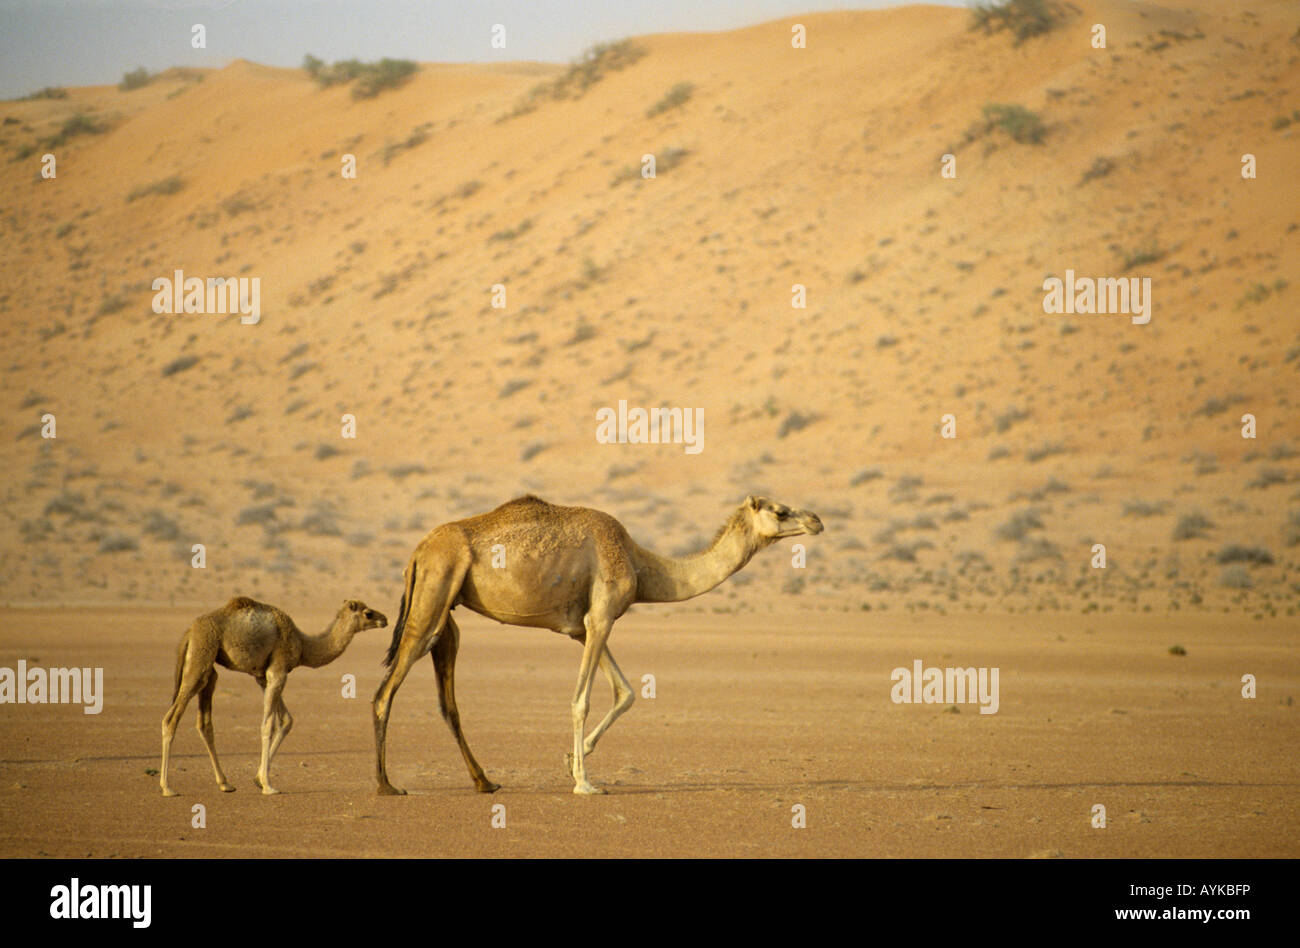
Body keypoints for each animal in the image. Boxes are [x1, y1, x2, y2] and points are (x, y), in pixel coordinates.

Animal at [160, 596, 387, 796]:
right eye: (368, 613)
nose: (384, 619)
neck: (302, 643)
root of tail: (189, 633)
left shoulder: (262, 677)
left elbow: (286, 720)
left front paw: (258, 779)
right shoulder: (278, 671)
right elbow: (267, 724)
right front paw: (268, 786)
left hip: (208, 668)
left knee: (204, 722)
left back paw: (225, 784)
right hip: (200, 658)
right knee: (171, 718)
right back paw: (167, 788)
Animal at [373, 494, 823, 795]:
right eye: (780, 511)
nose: (817, 520)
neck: (641, 565)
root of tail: (418, 551)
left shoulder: (582, 627)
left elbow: (625, 692)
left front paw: (573, 759)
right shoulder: (601, 615)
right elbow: (581, 701)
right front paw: (584, 783)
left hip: (445, 613)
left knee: (446, 699)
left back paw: (485, 782)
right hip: (432, 594)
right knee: (384, 693)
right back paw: (386, 785)